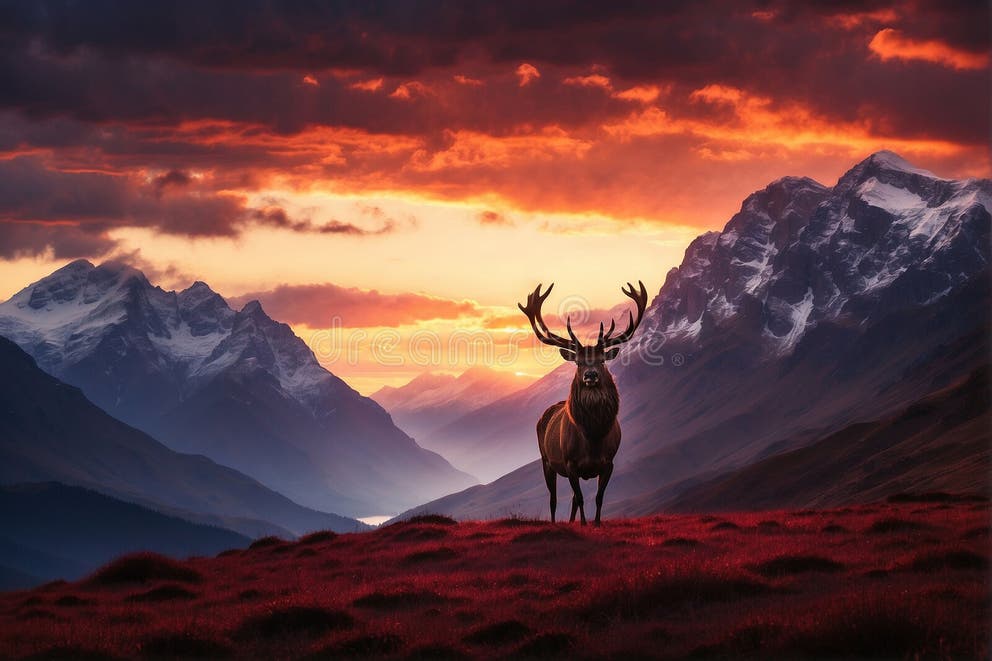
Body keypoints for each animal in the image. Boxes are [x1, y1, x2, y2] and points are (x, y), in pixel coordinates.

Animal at [518, 281, 648, 526]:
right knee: (553, 498)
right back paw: (555, 523)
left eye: (602, 360)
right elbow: (579, 497)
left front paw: (596, 523)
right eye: (578, 362)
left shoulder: (609, 462)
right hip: (546, 460)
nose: (591, 375)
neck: (593, 437)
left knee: (572, 500)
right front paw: (585, 524)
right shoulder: (570, 463)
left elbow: (597, 497)